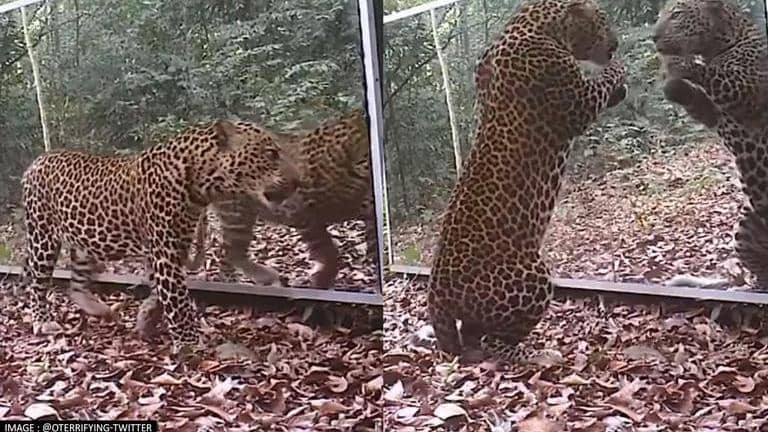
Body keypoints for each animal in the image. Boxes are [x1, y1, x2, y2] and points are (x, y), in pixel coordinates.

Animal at [19, 119, 300, 356]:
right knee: (37, 282)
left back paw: (100, 310)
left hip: (84, 239)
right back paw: (42, 321)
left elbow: (158, 291)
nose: (298, 181)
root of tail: (37, 160)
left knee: (75, 283)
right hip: (43, 236)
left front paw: (146, 320)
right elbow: (178, 298)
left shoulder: (171, 248)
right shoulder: (165, 251)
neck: (200, 183)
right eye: (271, 153)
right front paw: (188, 342)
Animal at [425, 0, 626, 364]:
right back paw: (533, 355)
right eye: (602, 18)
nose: (616, 43)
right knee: (491, 345)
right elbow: (601, 82)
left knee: (473, 339)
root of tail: (435, 293)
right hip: (533, 277)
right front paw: (618, 68)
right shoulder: (578, 101)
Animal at [652, 0, 768, 291]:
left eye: (677, 14)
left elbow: (716, 75)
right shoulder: (714, 113)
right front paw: (672, 85)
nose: (654, 37)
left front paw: (676, 64)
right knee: (760, 273)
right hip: (747, 221)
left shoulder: (747, 90)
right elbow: (698, 99)